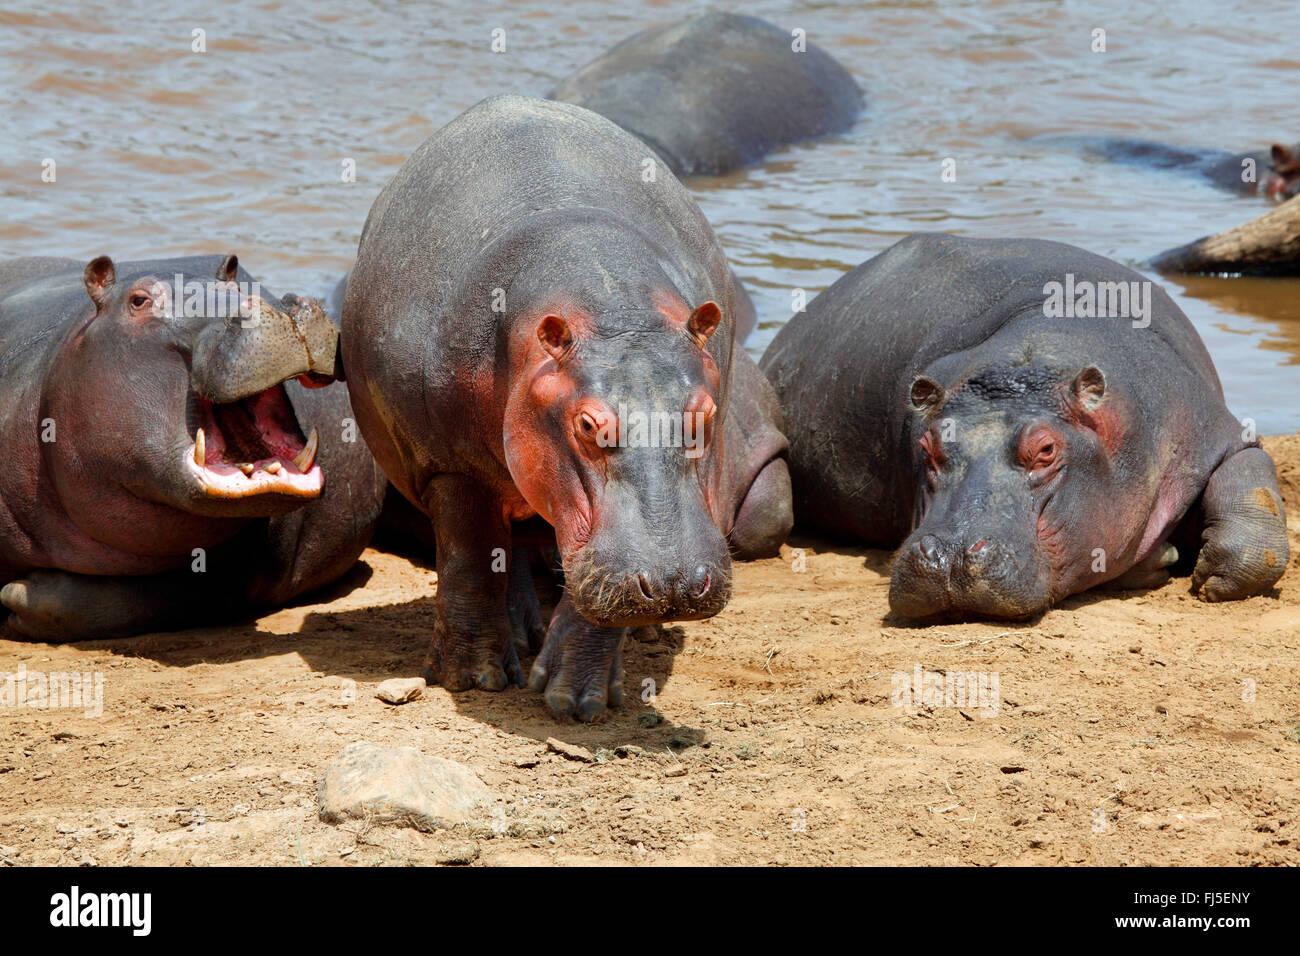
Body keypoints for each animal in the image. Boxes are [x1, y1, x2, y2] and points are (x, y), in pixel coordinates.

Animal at [342, 94, 792, 719]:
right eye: (585, 423)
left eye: (704, 415)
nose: (675, 583)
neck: (612, 305)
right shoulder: (448, 461)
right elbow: (470, 557)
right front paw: (471, 678)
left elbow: (596, 593)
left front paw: (575, 699)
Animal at [760, 234, 1289, 620]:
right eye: (927, 448)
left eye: (1047, 450)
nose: (951, 555)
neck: (1034, 353)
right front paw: (1162, 560)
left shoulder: (1211, 427)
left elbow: (1252, 497)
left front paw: (1214, 582)